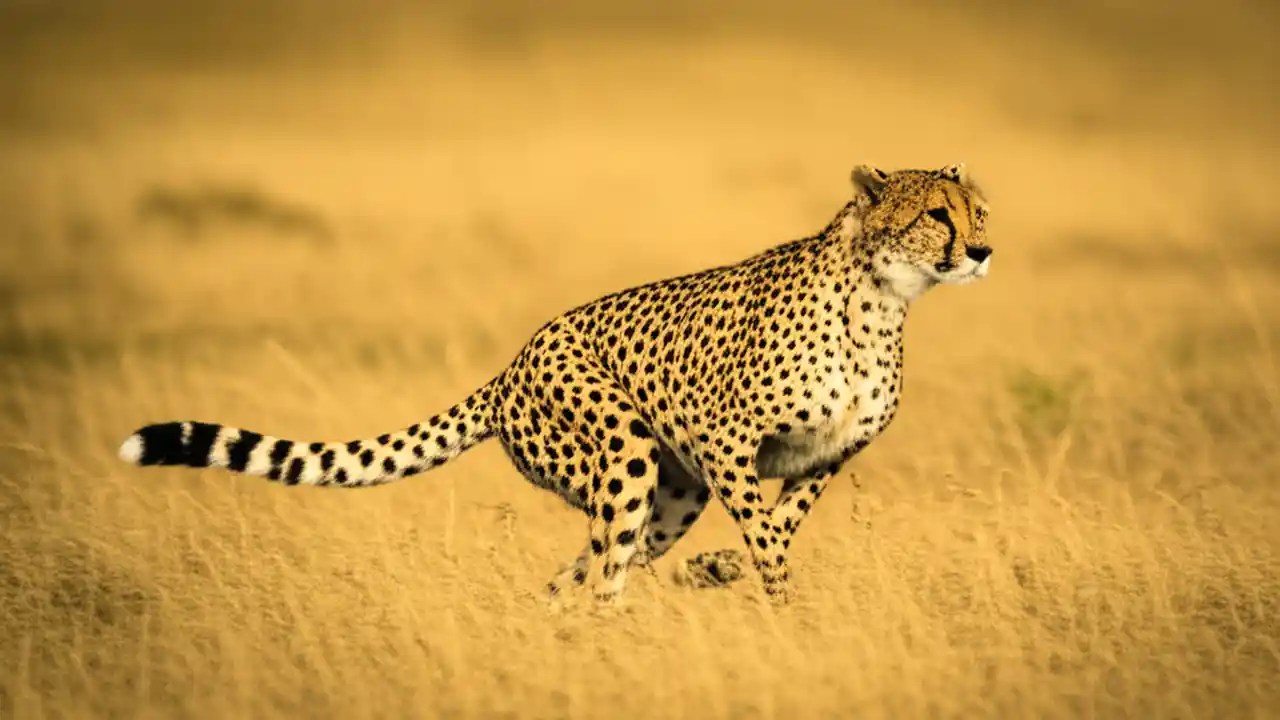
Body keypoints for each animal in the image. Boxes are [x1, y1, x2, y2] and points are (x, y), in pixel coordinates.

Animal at [118, 162, 992, 604]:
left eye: (979, 212)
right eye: (937, 215)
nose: (982, 250)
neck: (883, 299)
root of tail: (511, 364)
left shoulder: (823, 458)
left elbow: (780, 524)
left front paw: (733, 576)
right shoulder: (724, 442)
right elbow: (769, 536)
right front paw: (772, 600)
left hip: (670, 497)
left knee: (574, 574)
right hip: (627, 455)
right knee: (602, 573)